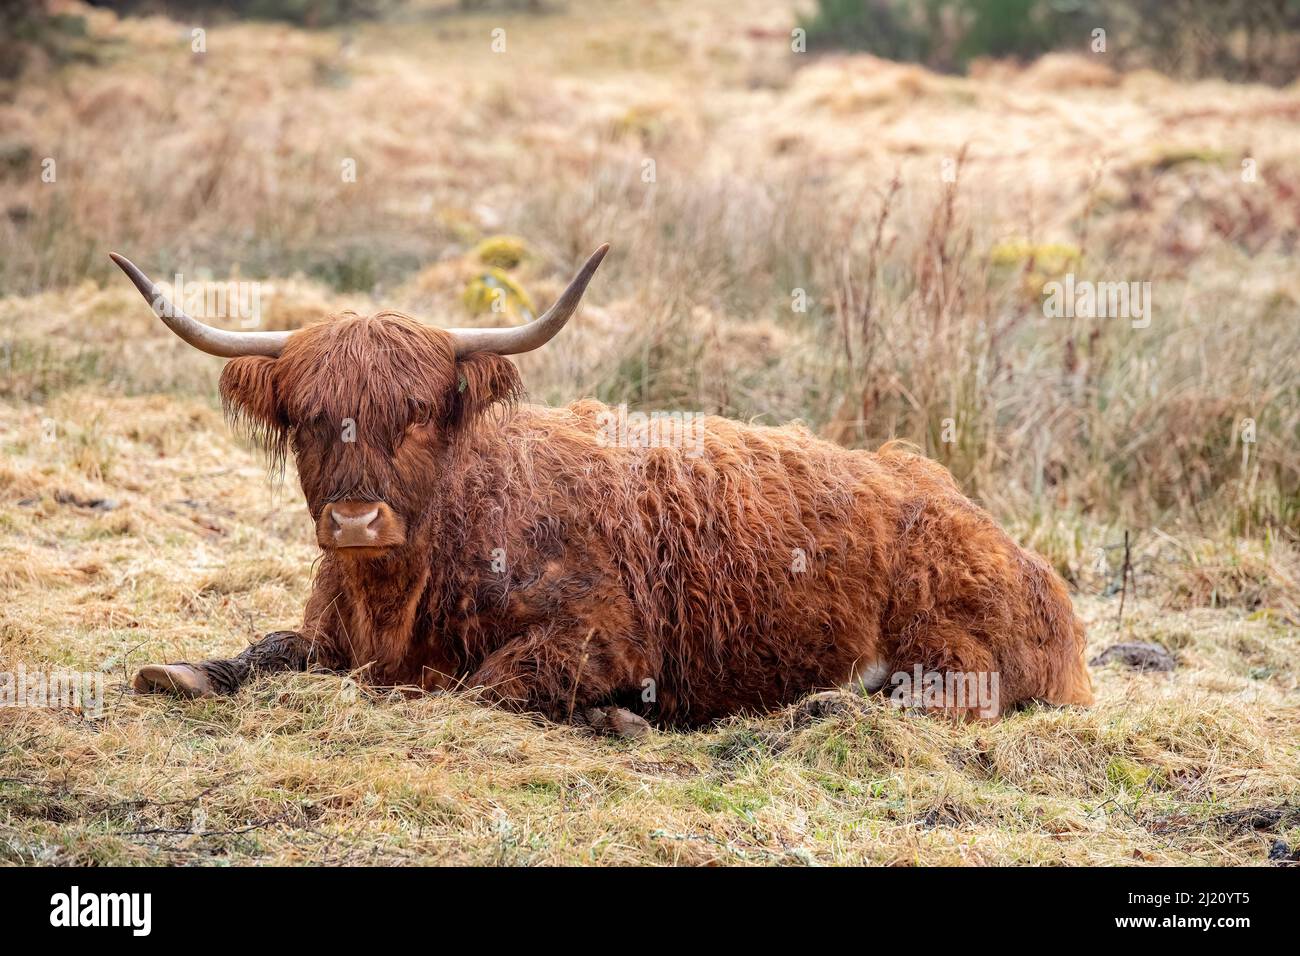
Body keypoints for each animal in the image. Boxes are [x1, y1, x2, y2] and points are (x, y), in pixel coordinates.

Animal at [111, 245, 1093, 735]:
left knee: (956, 692)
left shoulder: (602, 633)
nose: (357, 521)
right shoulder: (327, 630)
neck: (398, 591)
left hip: (946, 630)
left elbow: (484, 686)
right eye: (312, 417)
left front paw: (613, 718)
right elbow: (268, 648)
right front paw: (182, 670)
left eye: (418, 413)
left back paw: (830, 705)